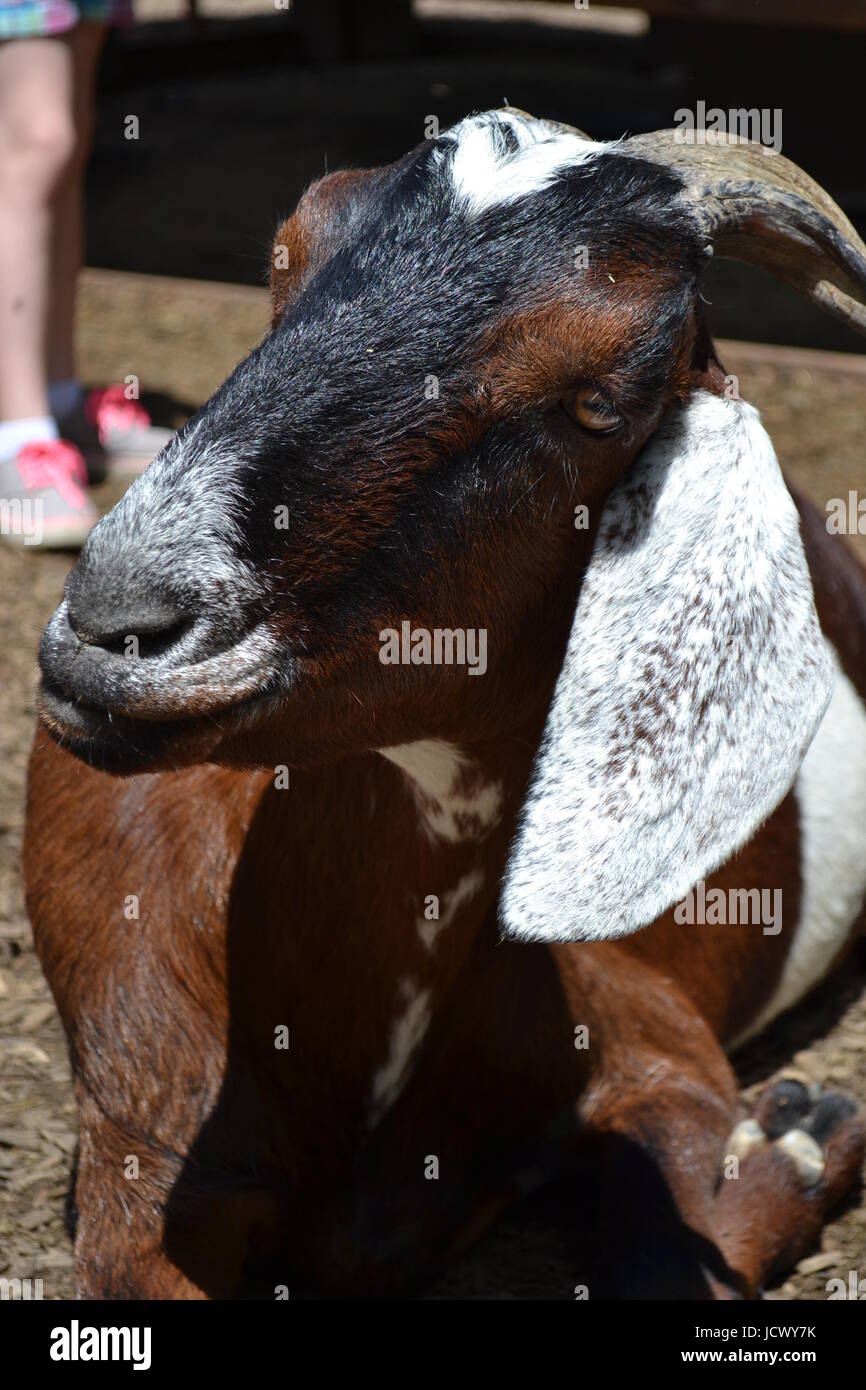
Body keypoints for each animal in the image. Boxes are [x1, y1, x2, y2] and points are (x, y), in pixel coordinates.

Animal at [24, 111, 866, 1299]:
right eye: (284, 256)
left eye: (600, 401)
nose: (117, 625)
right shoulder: (141, 1119)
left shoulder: (640, 1027)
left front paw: (798, 1135)